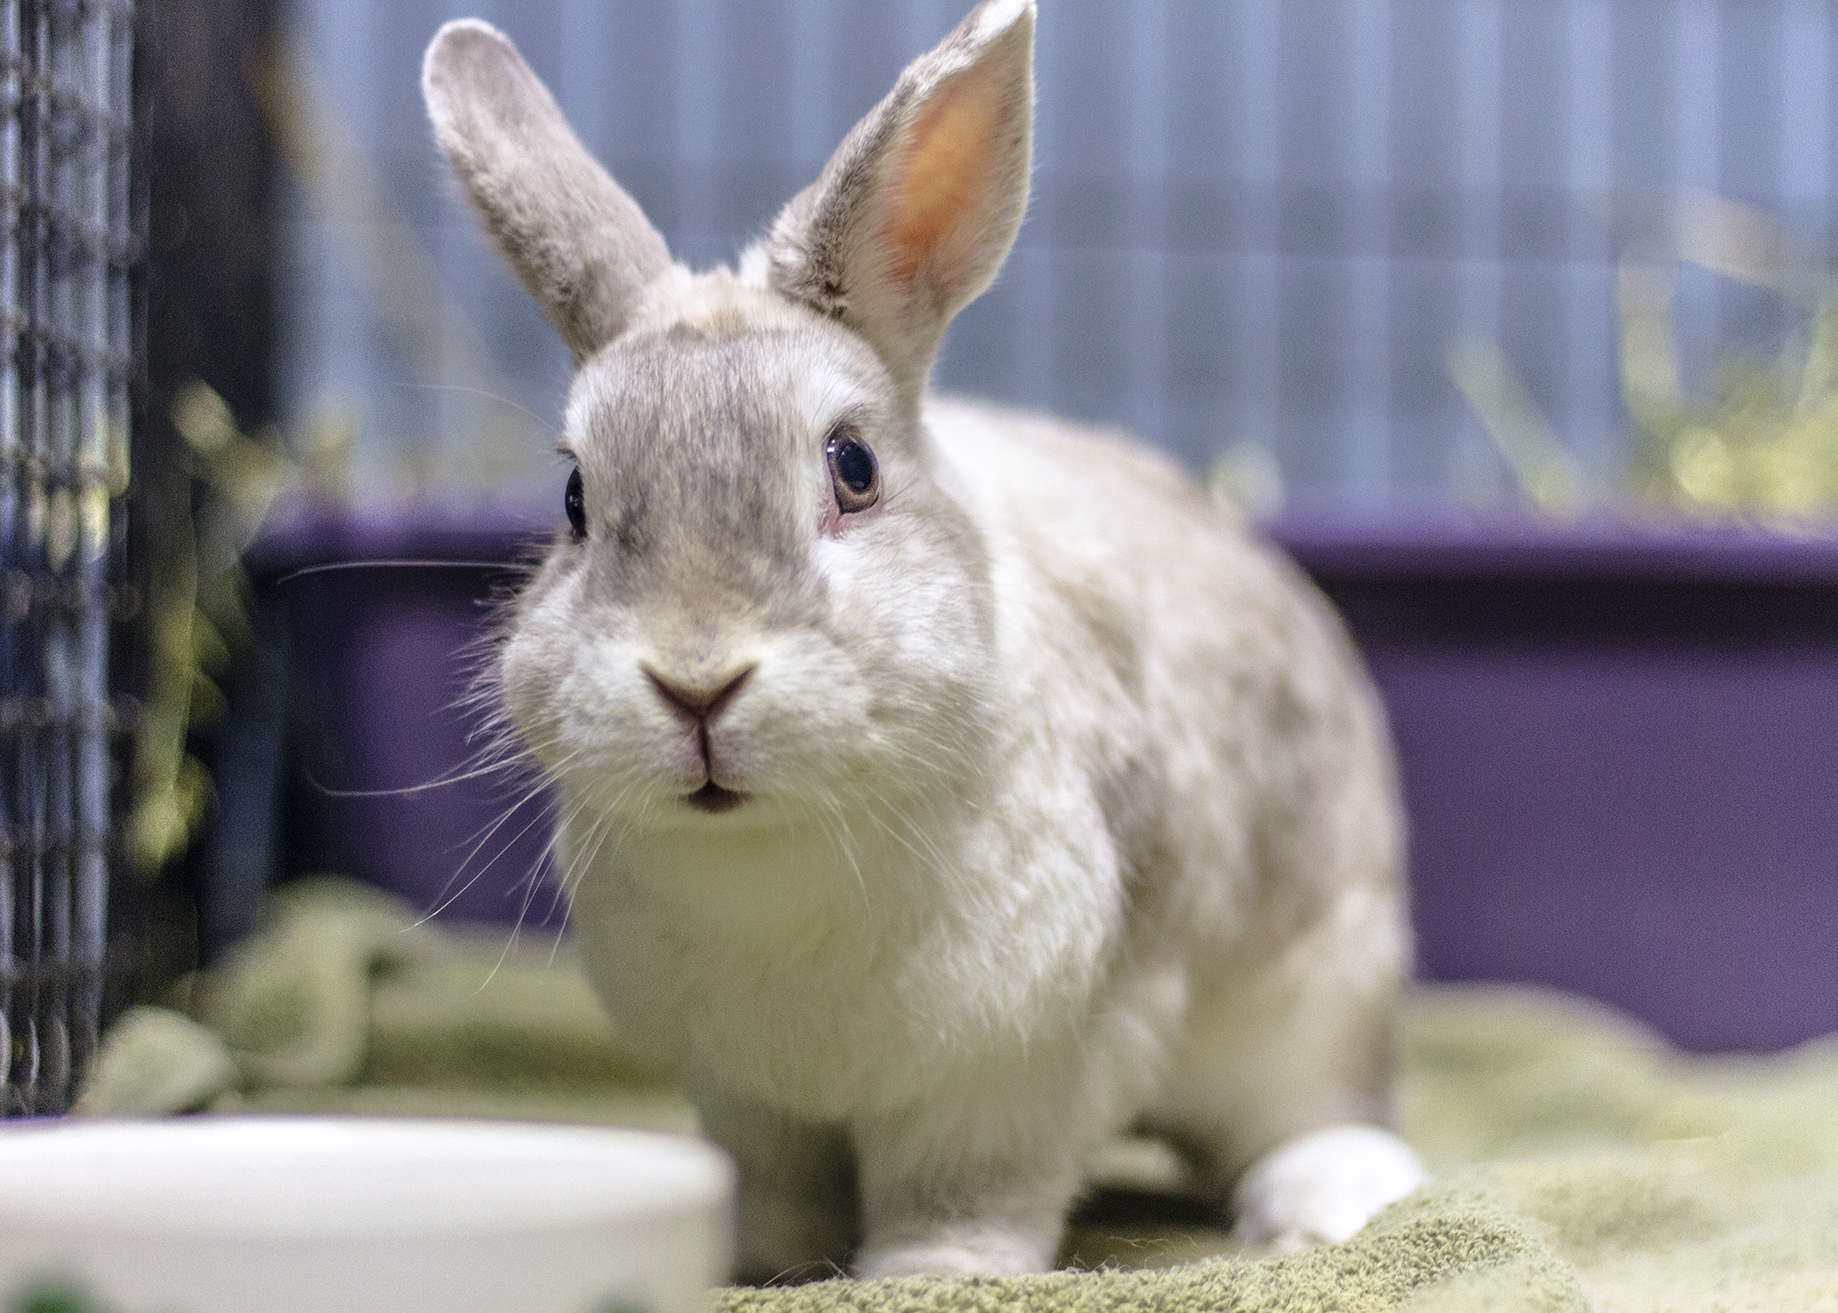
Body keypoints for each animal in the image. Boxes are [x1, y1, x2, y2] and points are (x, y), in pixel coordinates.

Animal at [422, 0, 1426, 1281]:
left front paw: (935, 1269)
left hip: (1317, 984)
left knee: (1321, 1108)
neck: (773, 854)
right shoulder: (750, 1098)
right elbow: (777, 1184)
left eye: (851, 466)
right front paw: (766, 1258)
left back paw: (1323, 1199)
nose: (695, 680)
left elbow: (972, 1183)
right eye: (573, 501)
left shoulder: (1020, 1067)